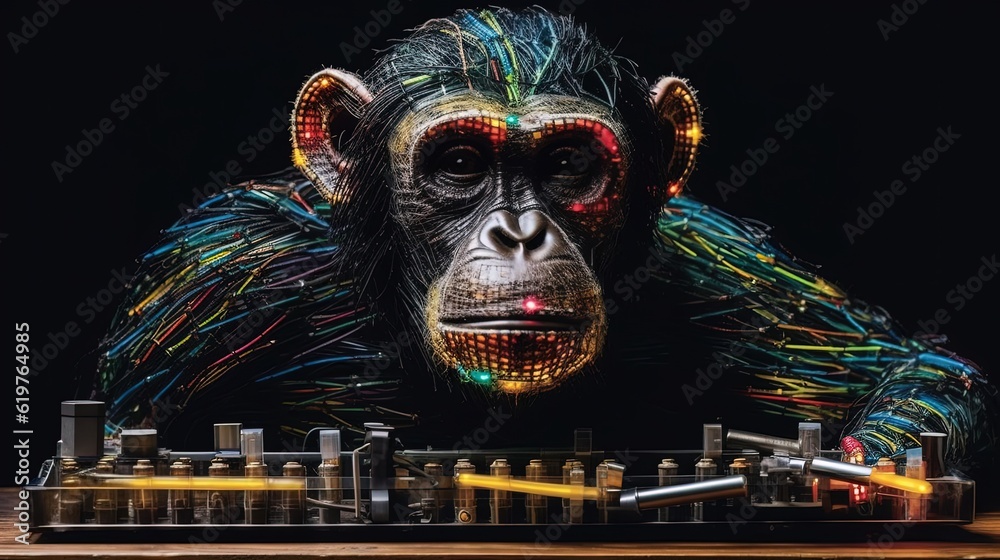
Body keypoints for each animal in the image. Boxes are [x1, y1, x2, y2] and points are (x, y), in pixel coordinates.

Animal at [94, 7, 996, 471]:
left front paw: (844, 470)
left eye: (567, 164)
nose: (520, 231)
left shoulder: (725, 272)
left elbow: (913, 368)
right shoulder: (211, 284)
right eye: (460, 162)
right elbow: (119, 442)